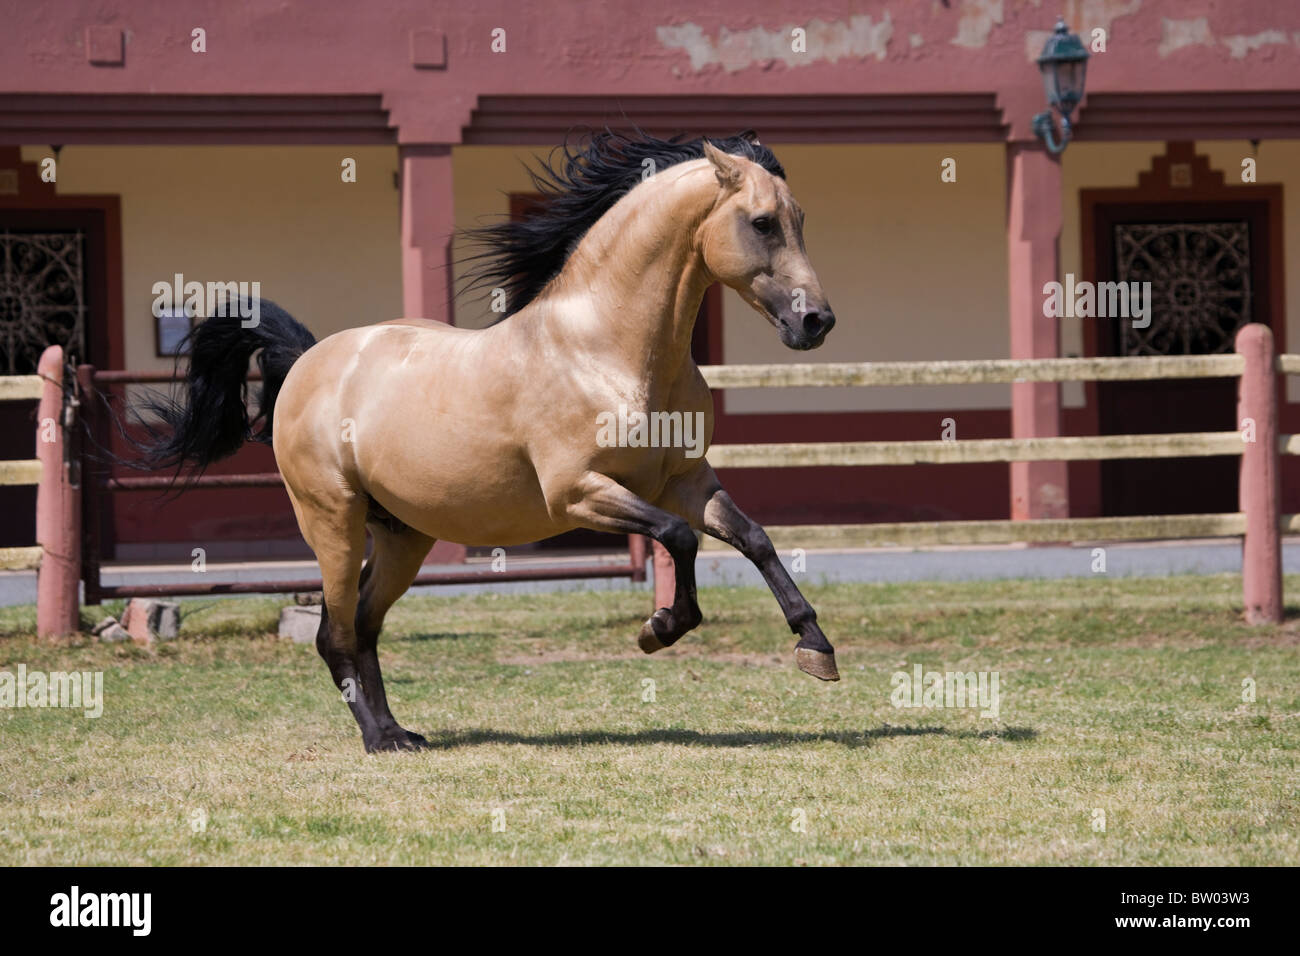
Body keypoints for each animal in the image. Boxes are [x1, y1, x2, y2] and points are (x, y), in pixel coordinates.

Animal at [140, 130, 840, 753]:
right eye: (762, 223)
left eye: (801, 219)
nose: (816, 321)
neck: (606, 349)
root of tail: (312, 357)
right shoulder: (578, 493)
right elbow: (679, 538)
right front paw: (658, 629)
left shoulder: (686, 482)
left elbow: (752, 538)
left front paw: (816, 648)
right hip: (332, 521)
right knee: (333, 635)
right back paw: (378, 740)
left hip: (403, 537)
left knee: (364, 626)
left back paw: (402, 732)